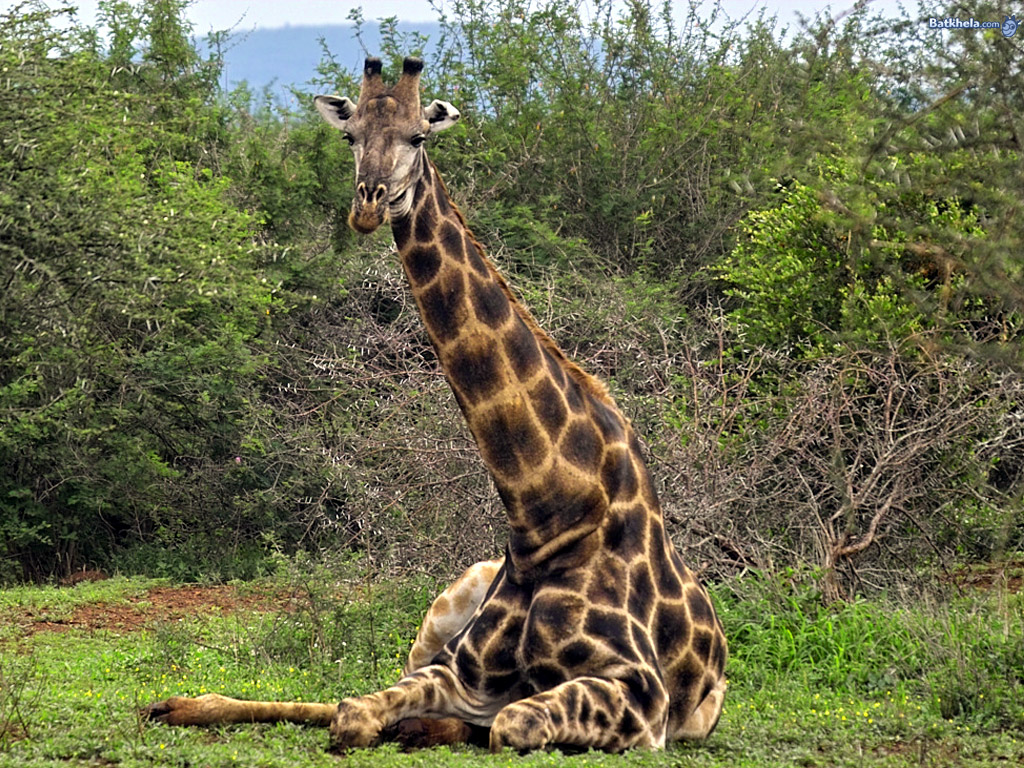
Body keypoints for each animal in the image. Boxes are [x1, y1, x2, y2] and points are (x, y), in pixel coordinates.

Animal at [143, 56, 727, 753]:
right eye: (350, 136)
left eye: (419, 137)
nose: (368, 205)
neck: (544, 517)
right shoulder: (458, 669)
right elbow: (355, 711)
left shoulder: (642, 697)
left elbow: (509, 720)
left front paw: (439, 725)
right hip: (449, 599)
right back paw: (178, 704)